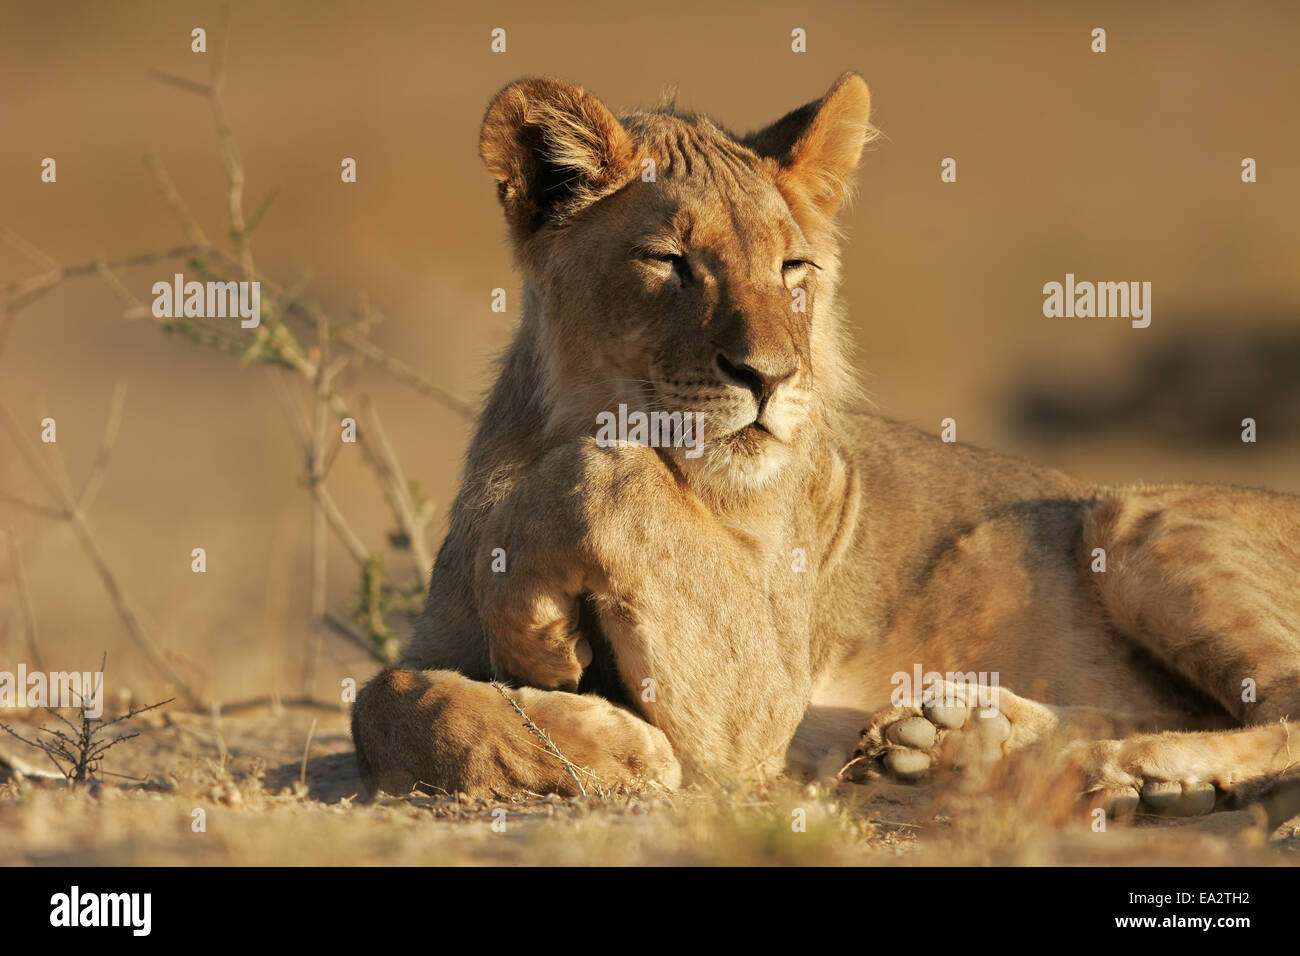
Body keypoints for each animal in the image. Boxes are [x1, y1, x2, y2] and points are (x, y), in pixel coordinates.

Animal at [351, 72, 1300, 820]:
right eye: (668, 261)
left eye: (793, 268)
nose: (768, 376)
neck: (563, 420)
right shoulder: (435, 645)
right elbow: (385, 700)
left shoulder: (756, 707)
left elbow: (607, 466)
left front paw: (591, 707)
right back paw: (950, 734)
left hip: (1131, 515)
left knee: (1276, 706)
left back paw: (1142, 775)